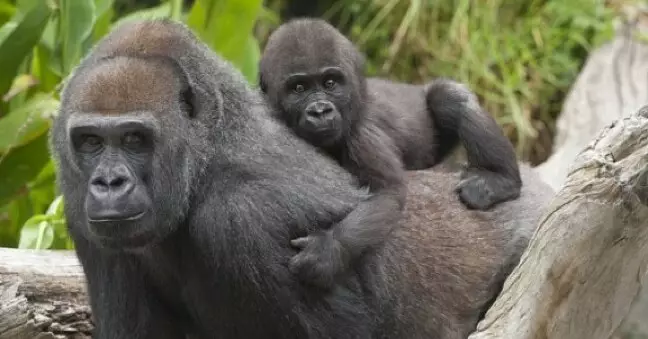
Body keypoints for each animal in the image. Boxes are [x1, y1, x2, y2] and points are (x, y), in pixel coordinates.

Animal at [258, 18, 520, 288]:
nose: (320, 111)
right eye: (299, 88)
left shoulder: (362, 137)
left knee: (448, 98)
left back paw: (499, 179)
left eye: (330, 83)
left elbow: (388, 193)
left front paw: (329, 249)